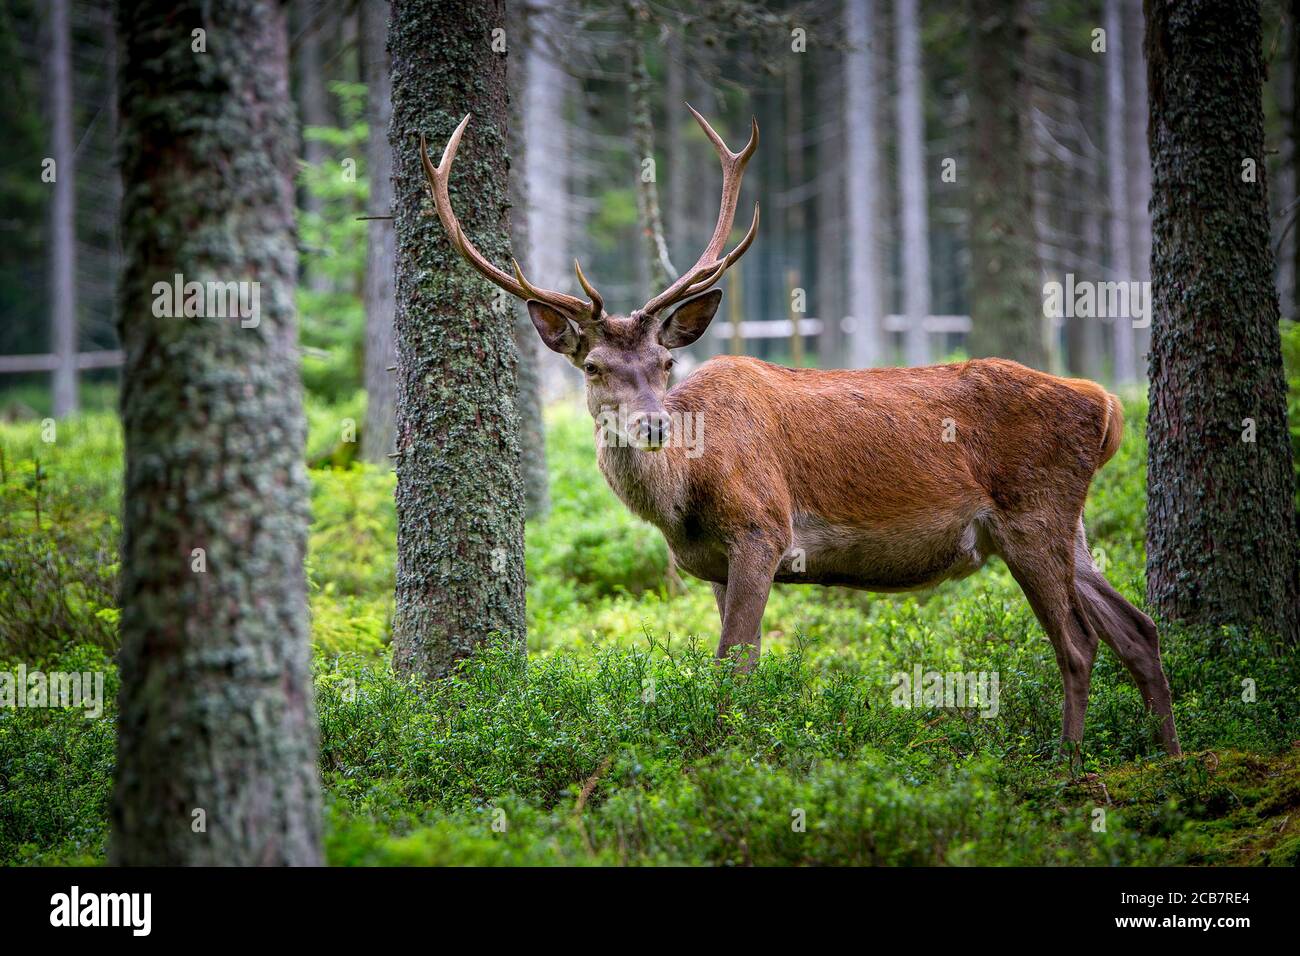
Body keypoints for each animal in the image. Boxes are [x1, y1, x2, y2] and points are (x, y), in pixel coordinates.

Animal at [419, 107, 1182, 758]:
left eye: (665, 362)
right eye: (595, 366)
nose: (656, 423)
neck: (683, 502)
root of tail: (1104, 406)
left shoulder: (763, 527)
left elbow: (732, 668)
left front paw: (724, 760)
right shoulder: (714, 566)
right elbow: (745, 663)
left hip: (1033, 514)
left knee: (1078, 645)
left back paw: (1070, 762)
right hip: (1068, 525)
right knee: (1138, 630)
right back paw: (1169, 759)